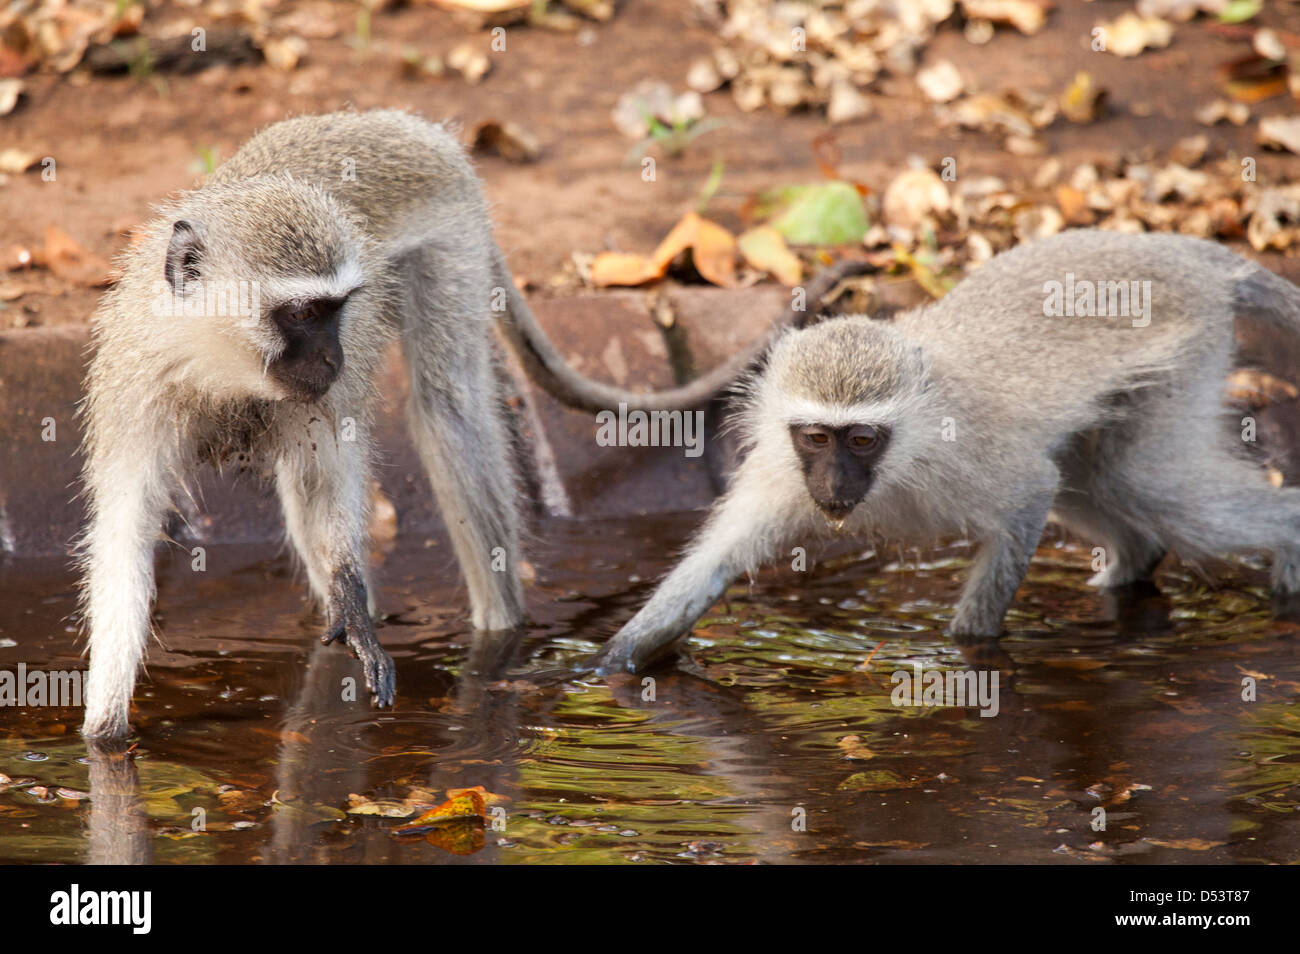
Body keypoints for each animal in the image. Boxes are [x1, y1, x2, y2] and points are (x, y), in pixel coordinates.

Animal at [78, 108, 868, 739]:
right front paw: (106, 728)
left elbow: (329, 478)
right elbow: (125, 528)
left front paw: (352, 601)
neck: (221, 362)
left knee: (447, 405)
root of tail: (404, 125)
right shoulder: (135, 383)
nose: (333, 355)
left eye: (336, 311)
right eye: (301, 314)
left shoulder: (329, 385)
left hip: (453, 238)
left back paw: (497, 639)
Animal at [595, 229, 1300, 673]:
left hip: (1185, 359)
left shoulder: (974, 460)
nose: (834, 487)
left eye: (862, 439)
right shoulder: (783, 472)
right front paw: (609, 666)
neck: (903, 457)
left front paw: (968, 649)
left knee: (1143, 482)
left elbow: (1029, 495)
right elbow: (713, 565)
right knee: (1099, 478)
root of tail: (1186, 255)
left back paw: (1288, 549)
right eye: (817, 437)